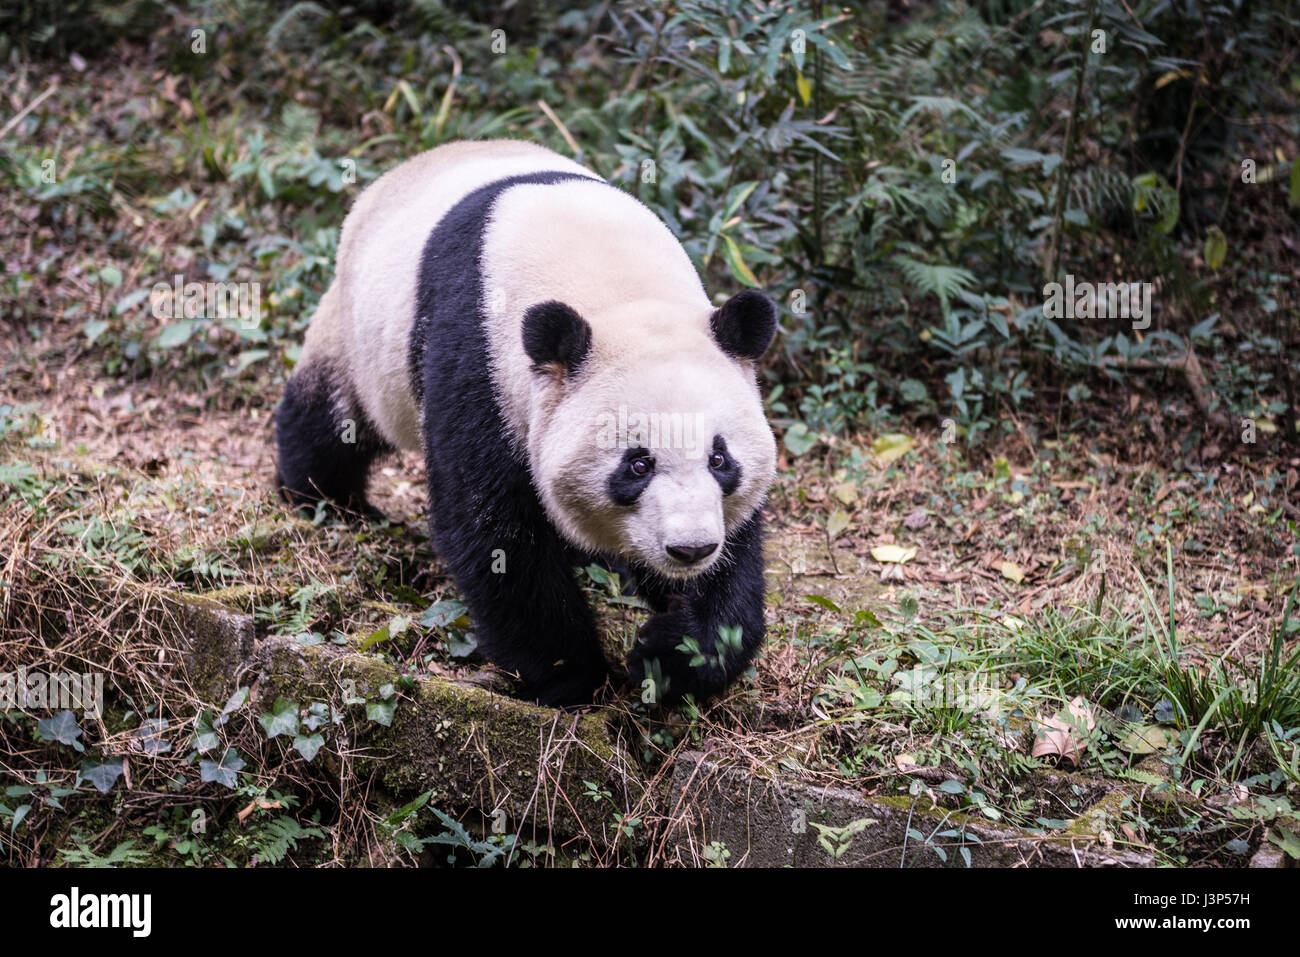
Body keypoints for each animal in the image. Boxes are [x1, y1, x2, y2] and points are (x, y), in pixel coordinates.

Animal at [275, 140, 778, 708]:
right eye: (637, 465)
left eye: (720, 459)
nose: (689, 549)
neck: (613, 283)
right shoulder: (482, 359)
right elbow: (494, 531)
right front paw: (573, 675)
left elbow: (735, 557)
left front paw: (672, 657)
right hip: (360, 333)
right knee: (333, 419)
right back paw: (326, 499)